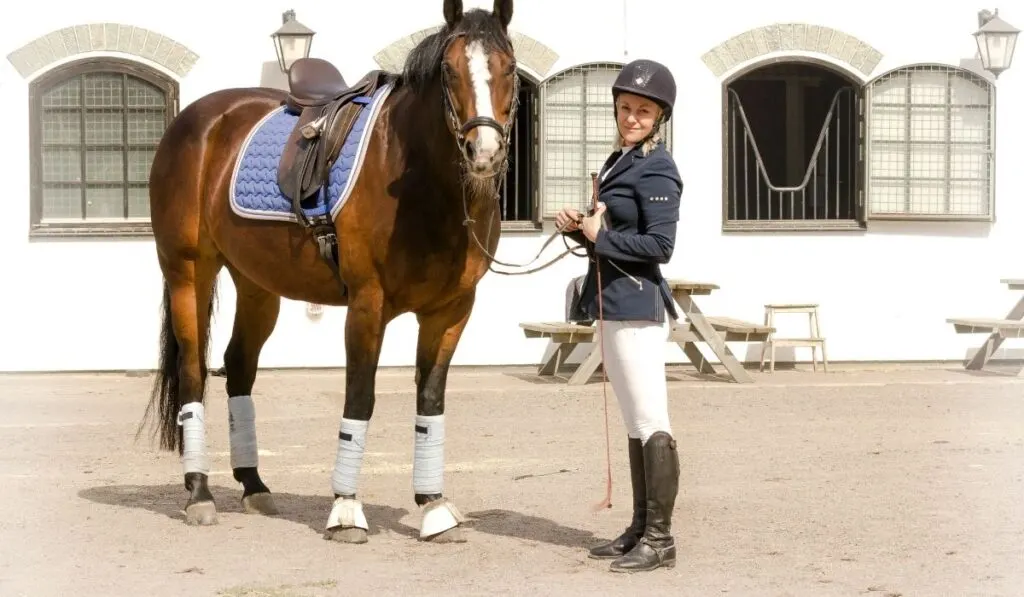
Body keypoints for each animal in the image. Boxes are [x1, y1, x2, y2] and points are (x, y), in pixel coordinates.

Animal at [137, 0, 519, 544]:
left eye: (510, 68)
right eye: (449, 70)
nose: (483, 153)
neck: (421, 182)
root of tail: (196, 119)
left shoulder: (451, 310)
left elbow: (430, 400)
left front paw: (433, 507)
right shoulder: (367, 304)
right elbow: (359, 397)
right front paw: (345, 509)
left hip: (257, 285)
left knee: (238, 366)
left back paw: (254, 485)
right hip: (189, 273)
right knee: (193, 372)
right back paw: (200, 494)